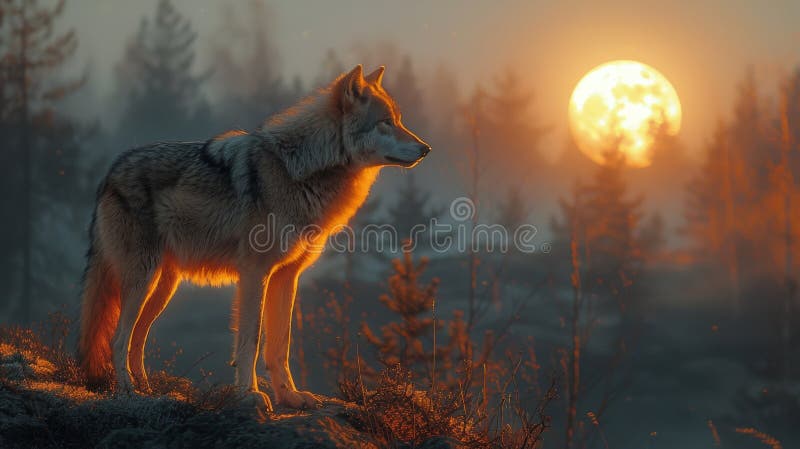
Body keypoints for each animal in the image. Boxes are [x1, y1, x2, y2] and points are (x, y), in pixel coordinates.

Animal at [77, 65, 430, 411]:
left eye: (399, 120)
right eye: (386, 122)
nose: (426, 149)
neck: (298, 170)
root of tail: (110, 172)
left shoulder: (286, 276)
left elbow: (280, 345)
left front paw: (290, 396)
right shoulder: (254, 273)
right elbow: (251, 340)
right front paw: (249, 394)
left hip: (163, 287)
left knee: (137, 339)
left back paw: (148, 390)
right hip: (143, 281)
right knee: (118, 339)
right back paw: (128, 392)